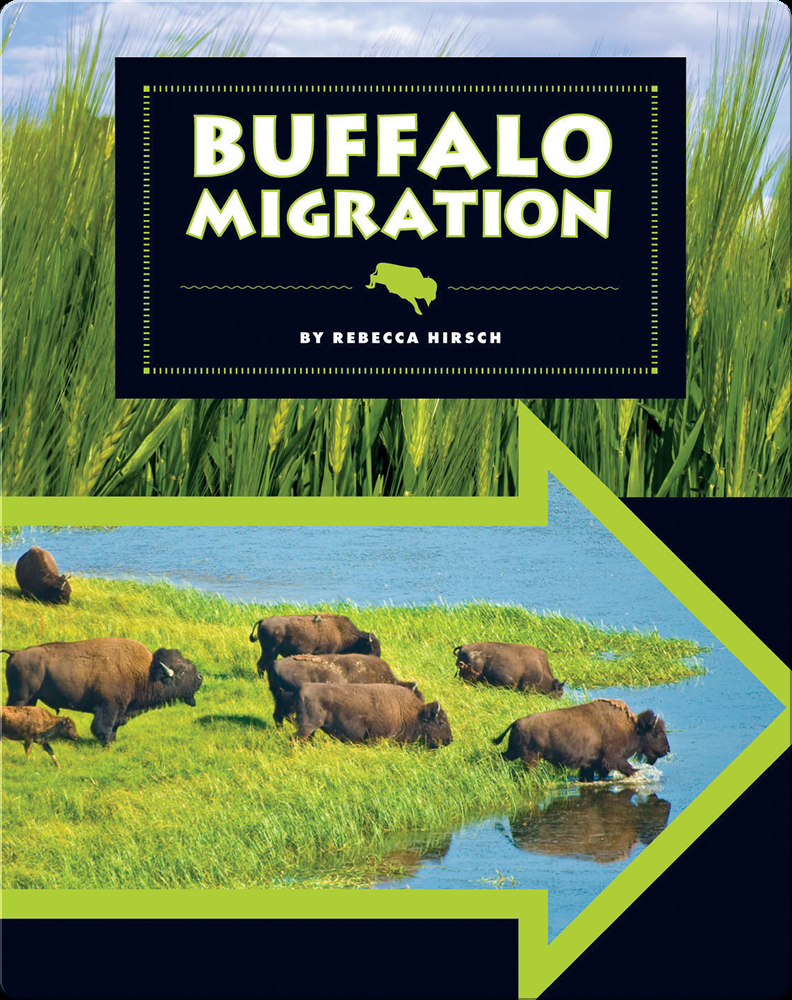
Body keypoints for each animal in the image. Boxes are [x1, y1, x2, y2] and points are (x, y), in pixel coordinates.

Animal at [3, 638, 203, 747]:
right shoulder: (108, 707)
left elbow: (114, 726)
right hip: (21, 697)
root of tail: (16, 652)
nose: (200, 676)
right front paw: (106, 743)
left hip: (31, 698)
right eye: (182, 672)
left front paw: (112, 742)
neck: (145, 672)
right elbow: (104, 726)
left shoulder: (121, 710)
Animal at [492, 698, 670, 781]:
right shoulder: (613, 759)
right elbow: (629, 769)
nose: (667, 750)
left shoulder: (591, 765)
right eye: (657, 733)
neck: (633, 728)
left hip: (515, 753)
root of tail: (517, 722)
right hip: (530, 758)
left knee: (501, 757)